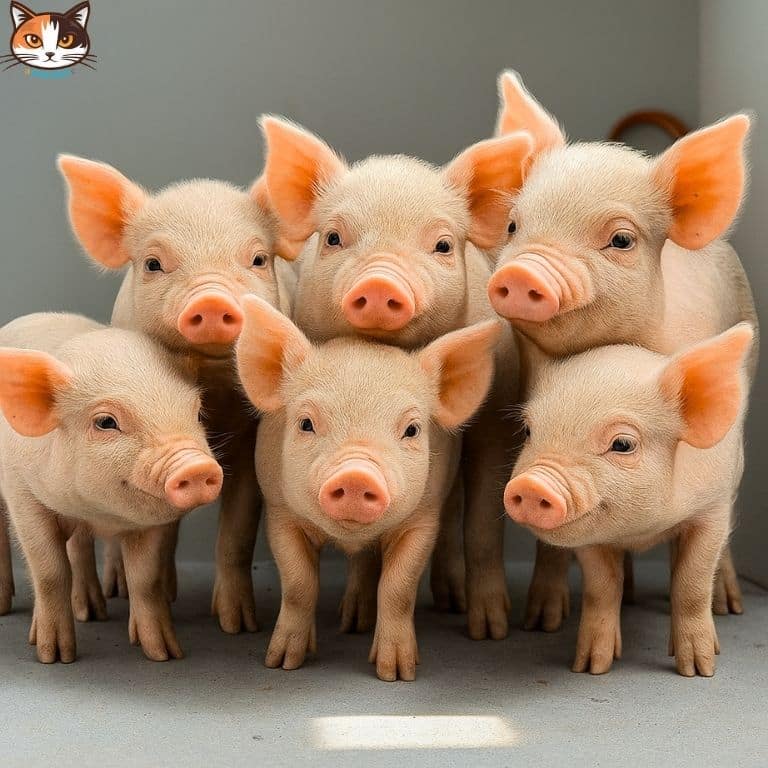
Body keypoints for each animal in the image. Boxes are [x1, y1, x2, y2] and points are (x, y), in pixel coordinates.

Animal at [0, 312, 223, 662]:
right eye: (106, 422)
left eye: (198, 413)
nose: (197, 466)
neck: (96, 512)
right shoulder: (22, 493)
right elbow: (49, 572)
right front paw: (55, 657)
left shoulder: (150, 523)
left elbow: (145, 578)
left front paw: (164, 654)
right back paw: (4, 608)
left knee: (79, 547)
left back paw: (93, 612)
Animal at [57, 156, 296, 634]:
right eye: (153, 263)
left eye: (259, 259)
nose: (211, 301)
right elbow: (159, 528)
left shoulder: (248, 441)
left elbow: (238, 531)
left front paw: (237, 626)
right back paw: (98, 606)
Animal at [236, 295, 500, 681]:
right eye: (306, 423)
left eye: (412, 430)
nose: (356, 475)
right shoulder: (279, 512)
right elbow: (299, 583)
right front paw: (282, 663)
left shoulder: (422, 520)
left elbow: (398, 588)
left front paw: (397, 673)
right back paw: (350, 623)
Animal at [260, 116, 531, 640]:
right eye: (334, 238)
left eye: (442, 245)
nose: (380, 281)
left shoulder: (494, 416)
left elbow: (483, 521)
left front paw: (490, 631)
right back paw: (355, 619)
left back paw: (463, 611)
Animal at [504, 324, 754, 677]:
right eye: (528, 431)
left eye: (622, 444)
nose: (531, 484)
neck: (641, 532)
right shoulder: (589, 536)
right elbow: (602, 586)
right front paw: (591, 667)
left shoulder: (712, 509)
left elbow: (692, 581)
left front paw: (698, 670)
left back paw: (729, 607)